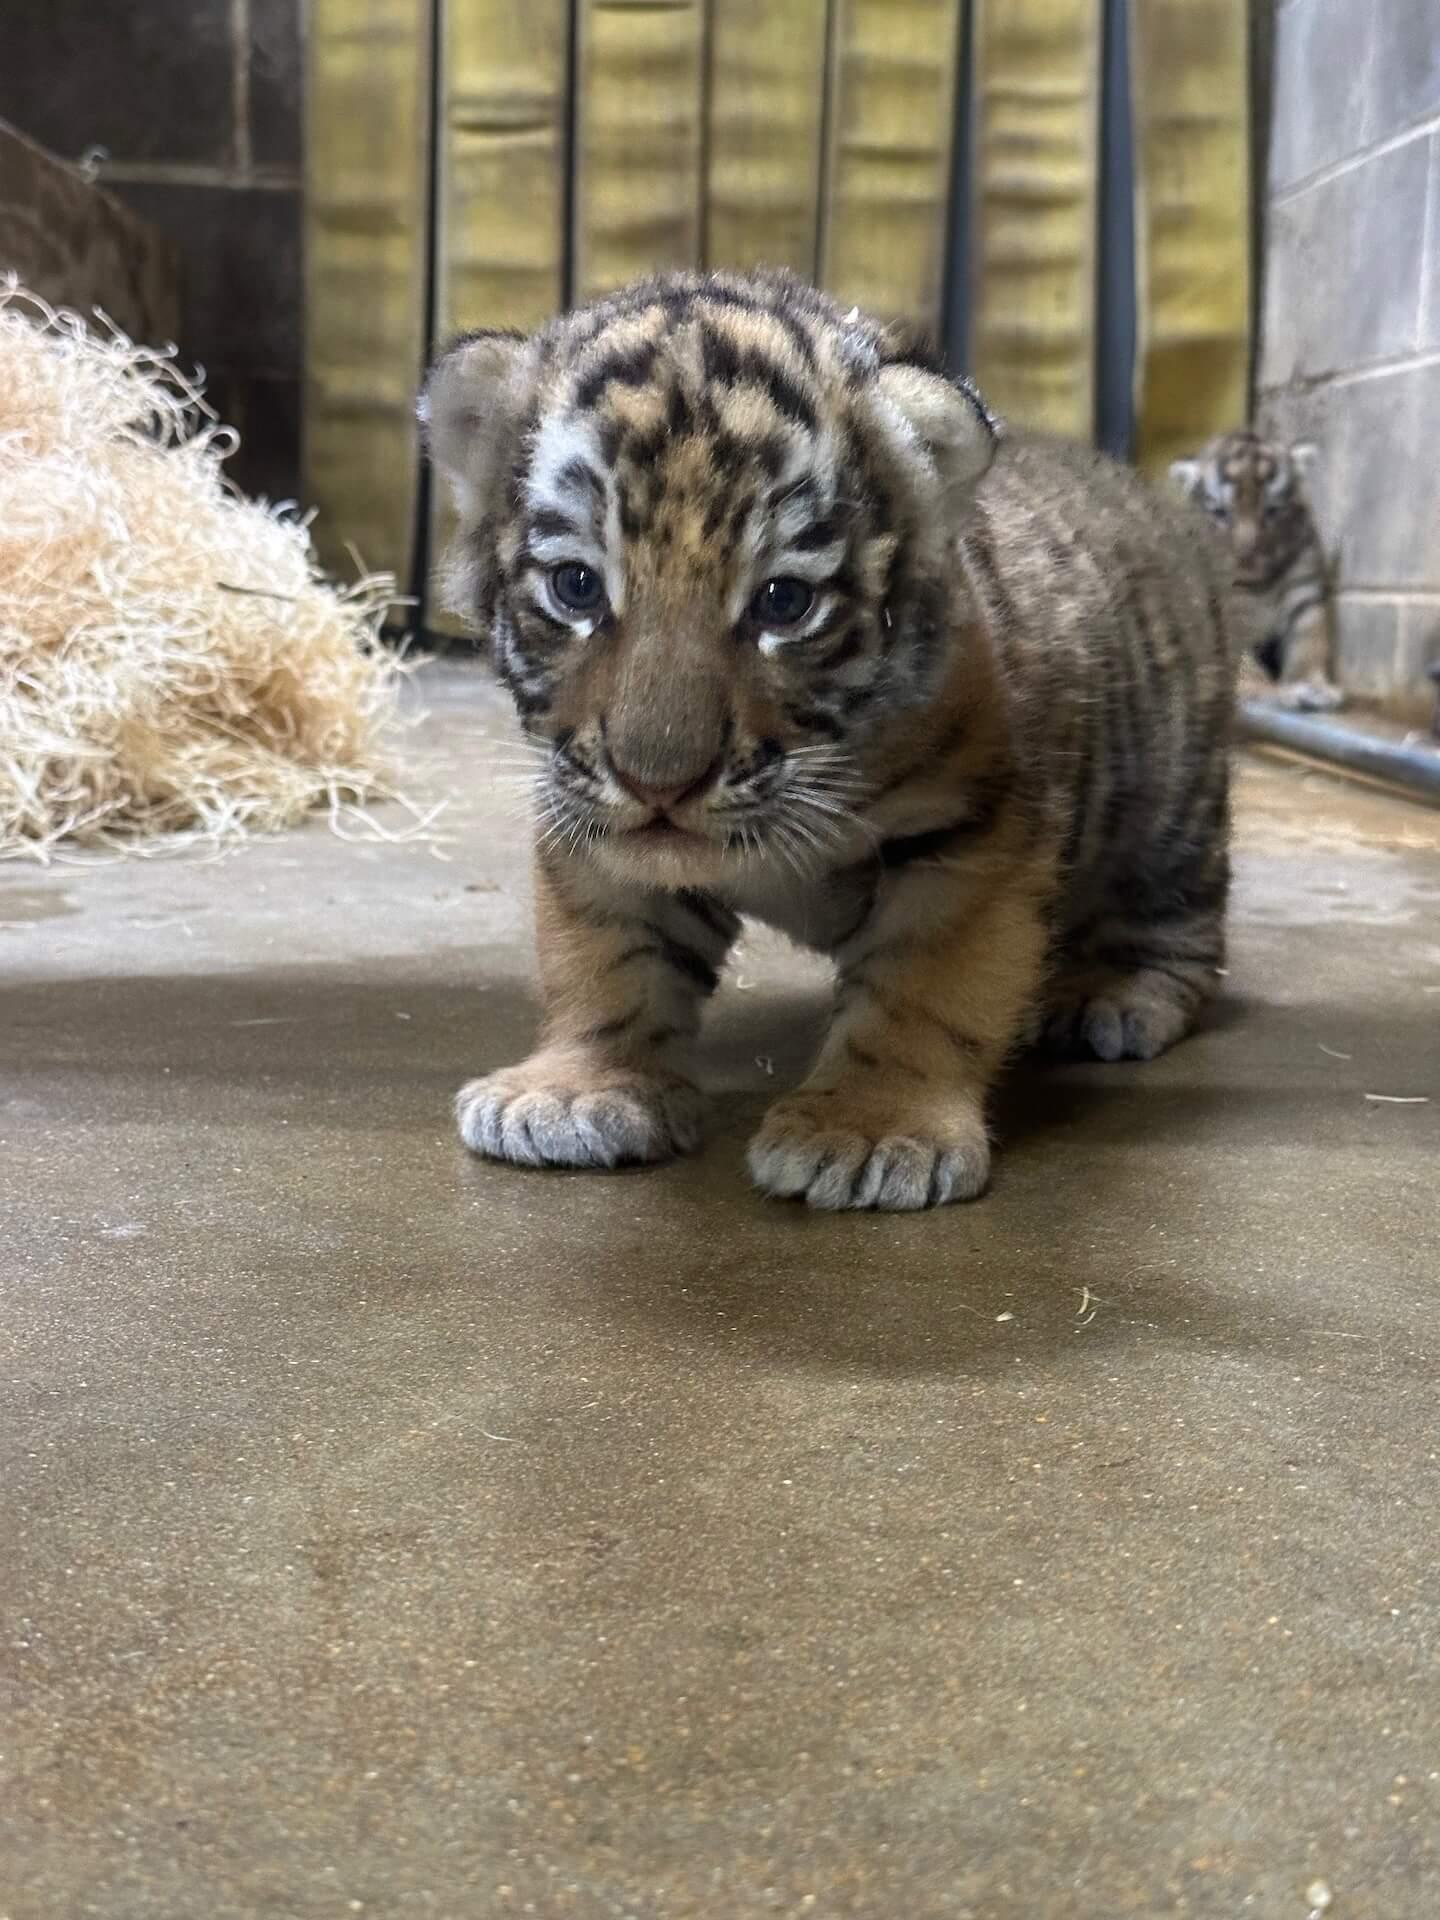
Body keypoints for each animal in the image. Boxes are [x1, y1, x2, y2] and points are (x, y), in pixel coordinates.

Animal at [421, 269, 1235, 1211]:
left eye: (784, 602)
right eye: (577, 588)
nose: (659, 784)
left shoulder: (973, 834)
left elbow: (925, 986)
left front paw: (871, 1129)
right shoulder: (589, 819)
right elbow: (605, 956)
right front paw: (577, 1089)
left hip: (1171, 805)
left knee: (1184, 922)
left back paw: (1114, 996)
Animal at [1169, 429, 1344, 712]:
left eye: (1272, 510)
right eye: (1221, 513)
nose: (1247, 556)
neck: (1261, 581)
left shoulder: (1303, 593)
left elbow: (1309, 642)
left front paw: (1310, 685)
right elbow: (1244, 660)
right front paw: (1263, 690)